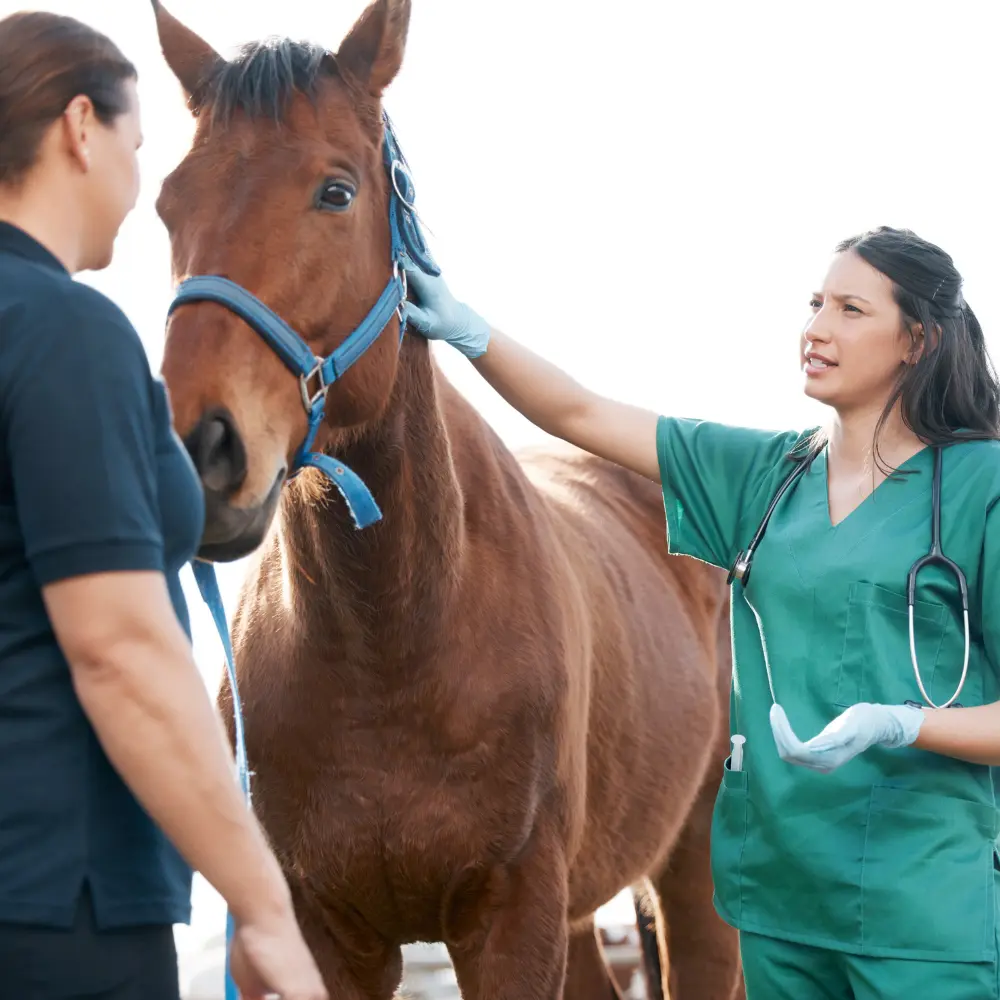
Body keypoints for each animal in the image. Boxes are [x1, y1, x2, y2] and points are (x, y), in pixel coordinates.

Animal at [150, 2, 742, 997]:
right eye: (167, 202)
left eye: (337, 192)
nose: (198, 450)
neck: (393, 641)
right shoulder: (321, 931)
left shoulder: (511, 919)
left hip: (693, 872)